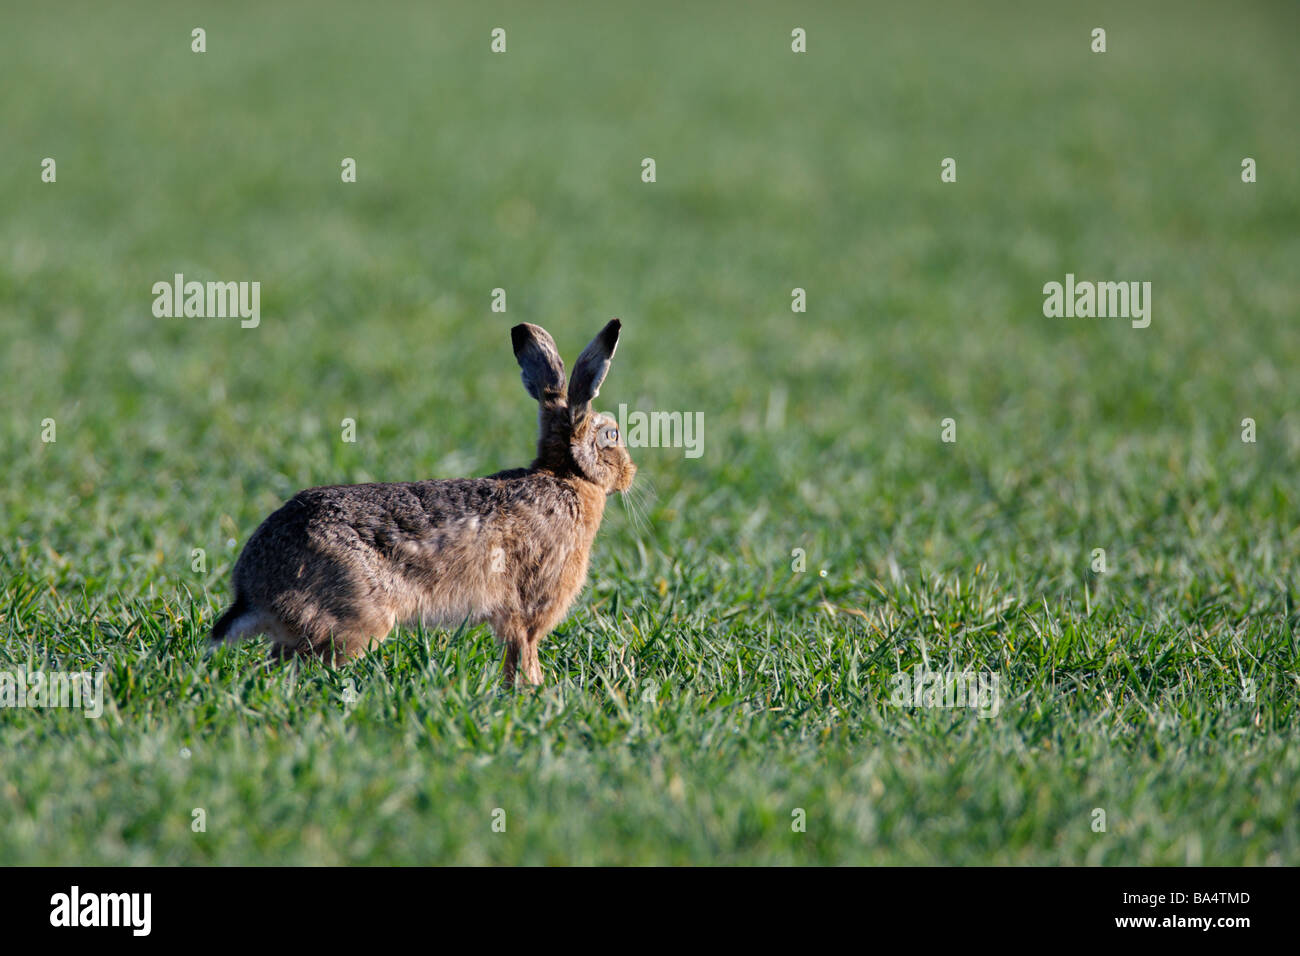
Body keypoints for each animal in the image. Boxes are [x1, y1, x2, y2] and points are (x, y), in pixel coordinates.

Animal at [209, 319, 635, 686]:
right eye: (612, 435)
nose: (630, 475)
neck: (565, 478)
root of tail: (253, 590)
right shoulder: (529, 611)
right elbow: (523, 653)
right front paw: (534, 690)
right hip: (354, 621)